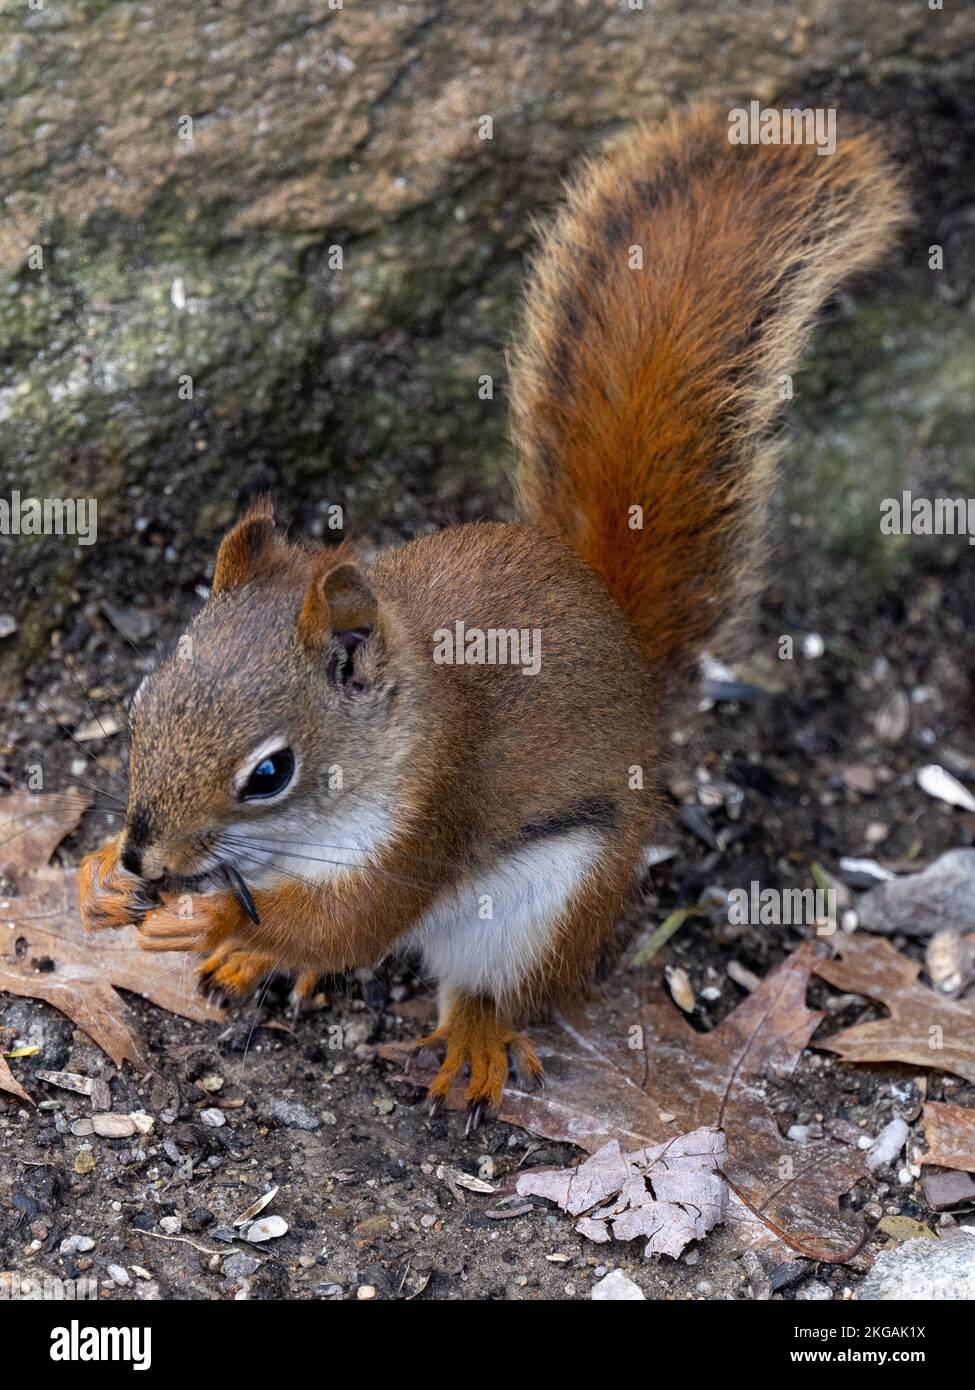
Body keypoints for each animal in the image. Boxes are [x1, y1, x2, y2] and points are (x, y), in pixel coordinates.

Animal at [78, 107, 907, 1129]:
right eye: (142, 699)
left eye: (269, 774)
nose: (145, 856)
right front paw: (109, 881)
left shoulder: (423, 825)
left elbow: (351, 922)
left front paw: (213, 913)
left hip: (546, 902)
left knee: (491, 987)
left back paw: (464, 1034)